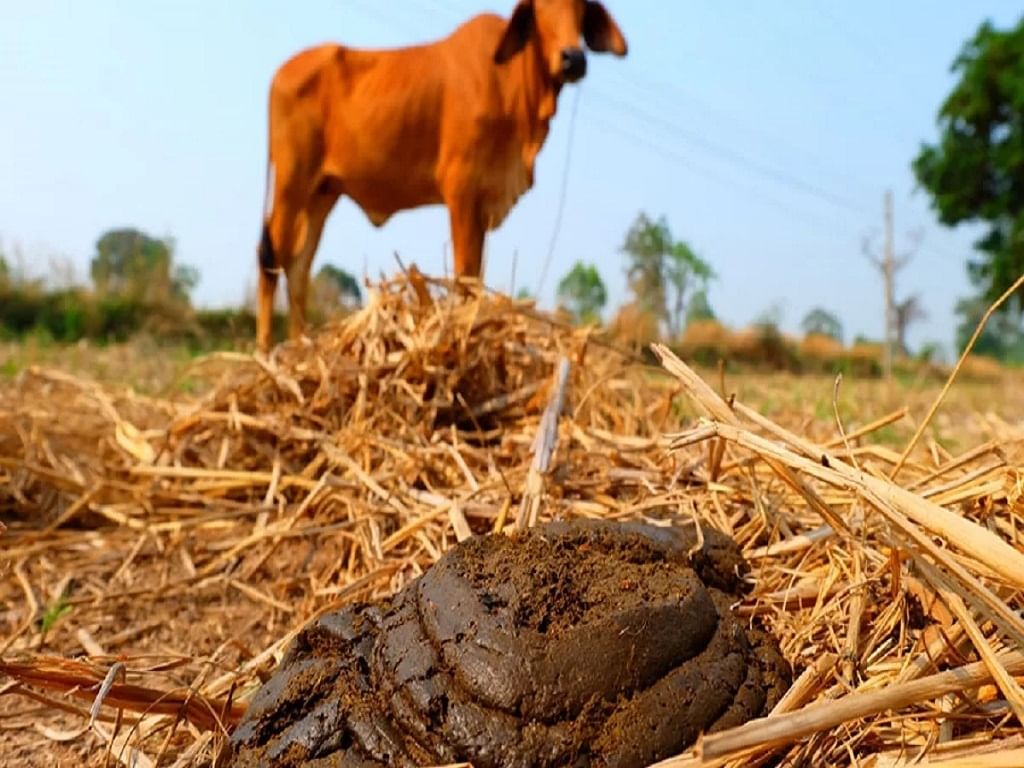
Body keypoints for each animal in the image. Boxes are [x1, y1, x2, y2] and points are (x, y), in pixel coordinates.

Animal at [255, 0, 627, 352]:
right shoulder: (461, 190)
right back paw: (264, 350)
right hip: (291, 183)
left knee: (298, 267)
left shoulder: (482, 202)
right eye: (540, 9)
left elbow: (475, 277)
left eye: (581, 7)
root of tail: (280, 74)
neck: (513, 87)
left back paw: (299, 347)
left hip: (322, 193)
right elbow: (463, 277)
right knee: (271, 257)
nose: (573, 59)